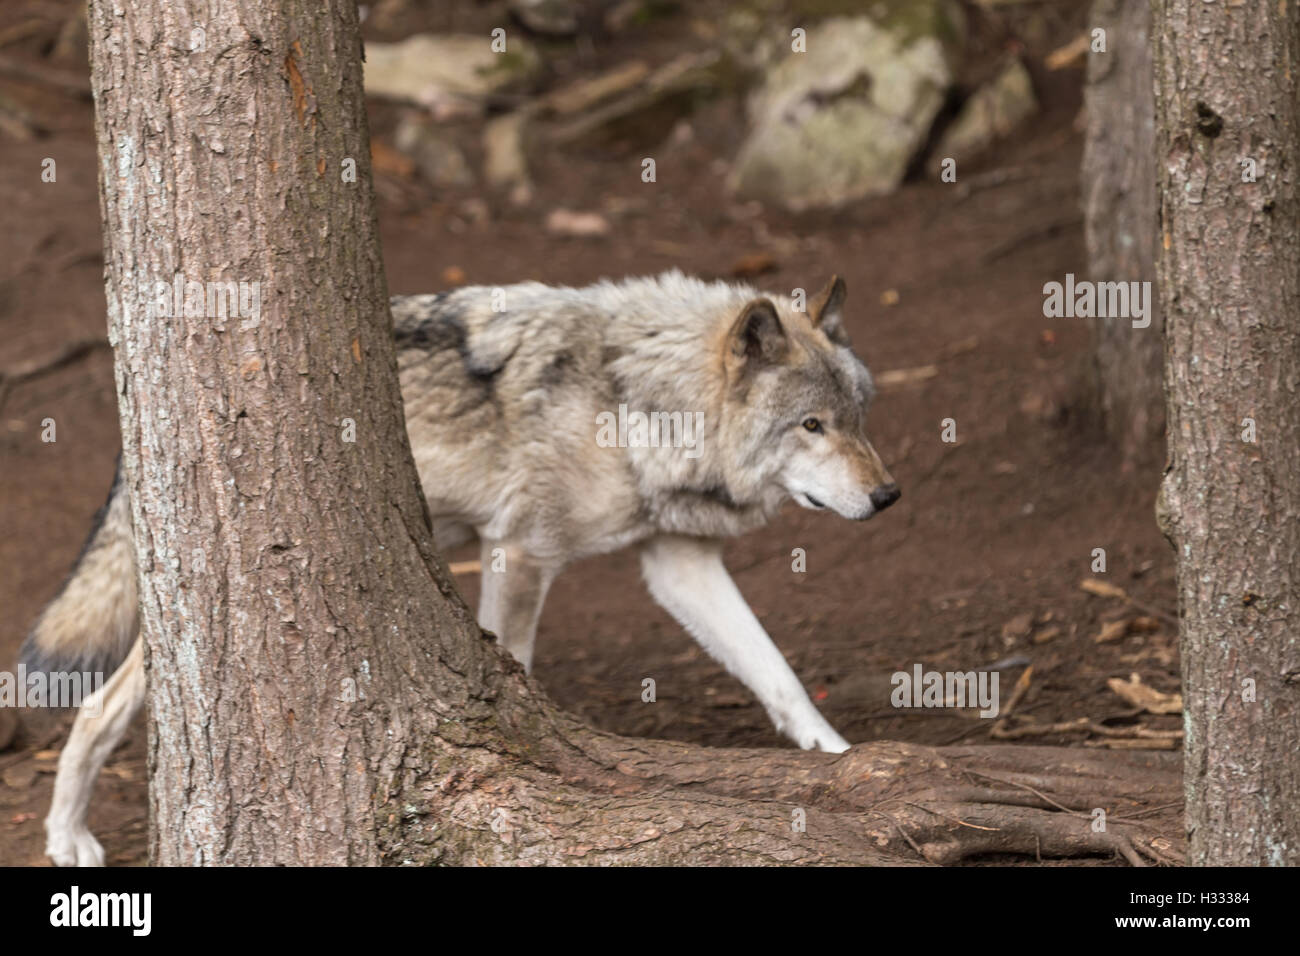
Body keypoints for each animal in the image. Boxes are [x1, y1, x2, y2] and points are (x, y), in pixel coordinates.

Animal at [22, 270, 899, 865]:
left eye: (858, 418)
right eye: (811, 426)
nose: (889, 495)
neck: (633, 394)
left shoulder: (676, 561)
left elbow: (778, 674)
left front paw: (841, 763)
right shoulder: (522, 551)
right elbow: (519, 666)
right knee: (94, 708)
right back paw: (66, 836)